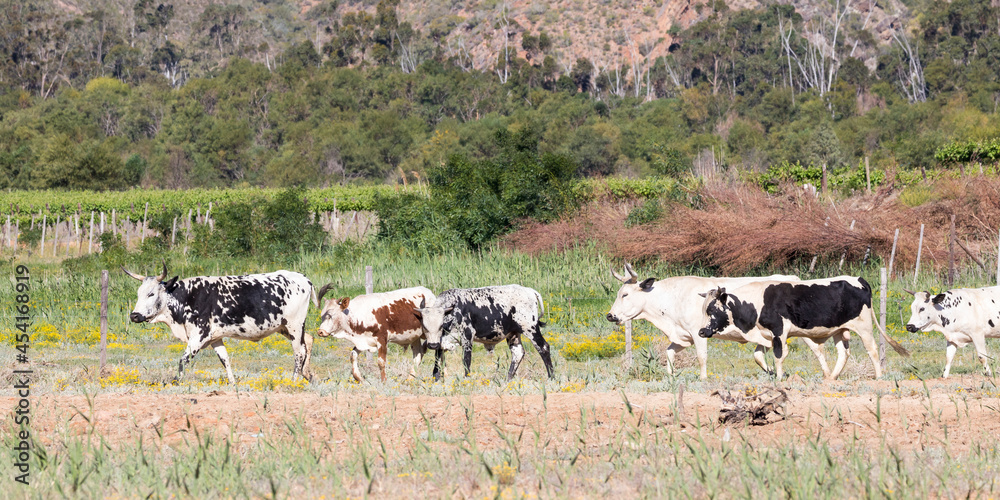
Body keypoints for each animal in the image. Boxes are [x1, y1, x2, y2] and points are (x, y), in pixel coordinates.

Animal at [123, 265, 317, 384]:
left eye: (151, 293)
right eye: (139, 293)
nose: (134, 315)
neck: (188, 296)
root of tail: (303, 278)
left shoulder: (198, 337)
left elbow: (183, 360)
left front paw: (176, 383)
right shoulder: (214, 338)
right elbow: (225, 359)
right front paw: (232, 383)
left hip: (294, 326)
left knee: (299, 352)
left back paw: (293, 381)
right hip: (285, 327)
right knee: (308, 340)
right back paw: (308, 375)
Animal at [414, 285, 555, 381]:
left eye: (440, 325)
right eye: (425, 326)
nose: (432, 345)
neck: (452, 310)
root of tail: (529, 290)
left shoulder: (467, 337)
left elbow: (466, 360)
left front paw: (467, 380)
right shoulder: (443, 340)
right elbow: (438, 358)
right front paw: (436, 378)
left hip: (530, 329)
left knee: (543, 347)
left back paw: (551, 377)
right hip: (513, 334)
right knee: (518, 352)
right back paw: (508, 379)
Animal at [606, 263, 823, 379]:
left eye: (625, 294)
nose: (610, 315)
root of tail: (794, 279)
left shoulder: (698, 334)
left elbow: (702, 357)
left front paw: (703, 379)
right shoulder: (682, 337)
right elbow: (669, 354)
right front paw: (670, 377)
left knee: (817, 349)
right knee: (760, 355)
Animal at [697, 276, 909, 380]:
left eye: (712, 310)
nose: (701, 331)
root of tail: (859, 279)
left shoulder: (779, 332)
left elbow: (779, 355)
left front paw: (779, 377)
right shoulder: (765, 334)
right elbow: (758, 356)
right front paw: (771, 373)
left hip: (864, 326)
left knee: (872, 350)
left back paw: (879, 377)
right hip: (840, 330)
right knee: (843, 353)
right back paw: (831, 377)